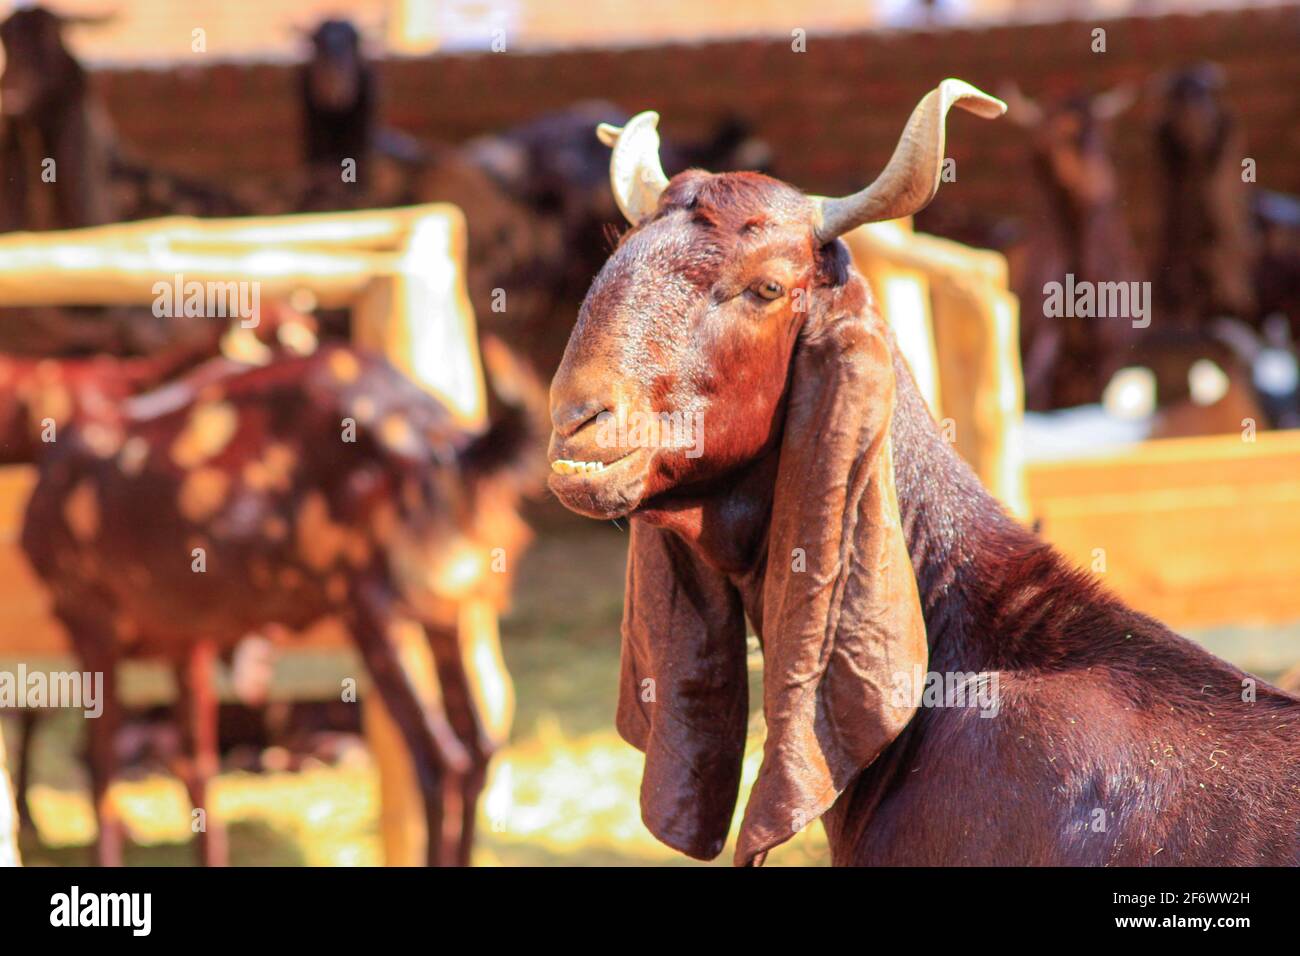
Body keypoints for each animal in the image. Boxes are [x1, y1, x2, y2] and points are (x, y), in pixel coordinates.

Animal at [20, 337, 541, 865]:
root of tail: (439, 438)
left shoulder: (91, 625)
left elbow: (102, 771)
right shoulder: (186, 644)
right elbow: (195, 767)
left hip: (371, 612)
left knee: (440, 761)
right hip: (441, 617)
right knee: (478, 748)